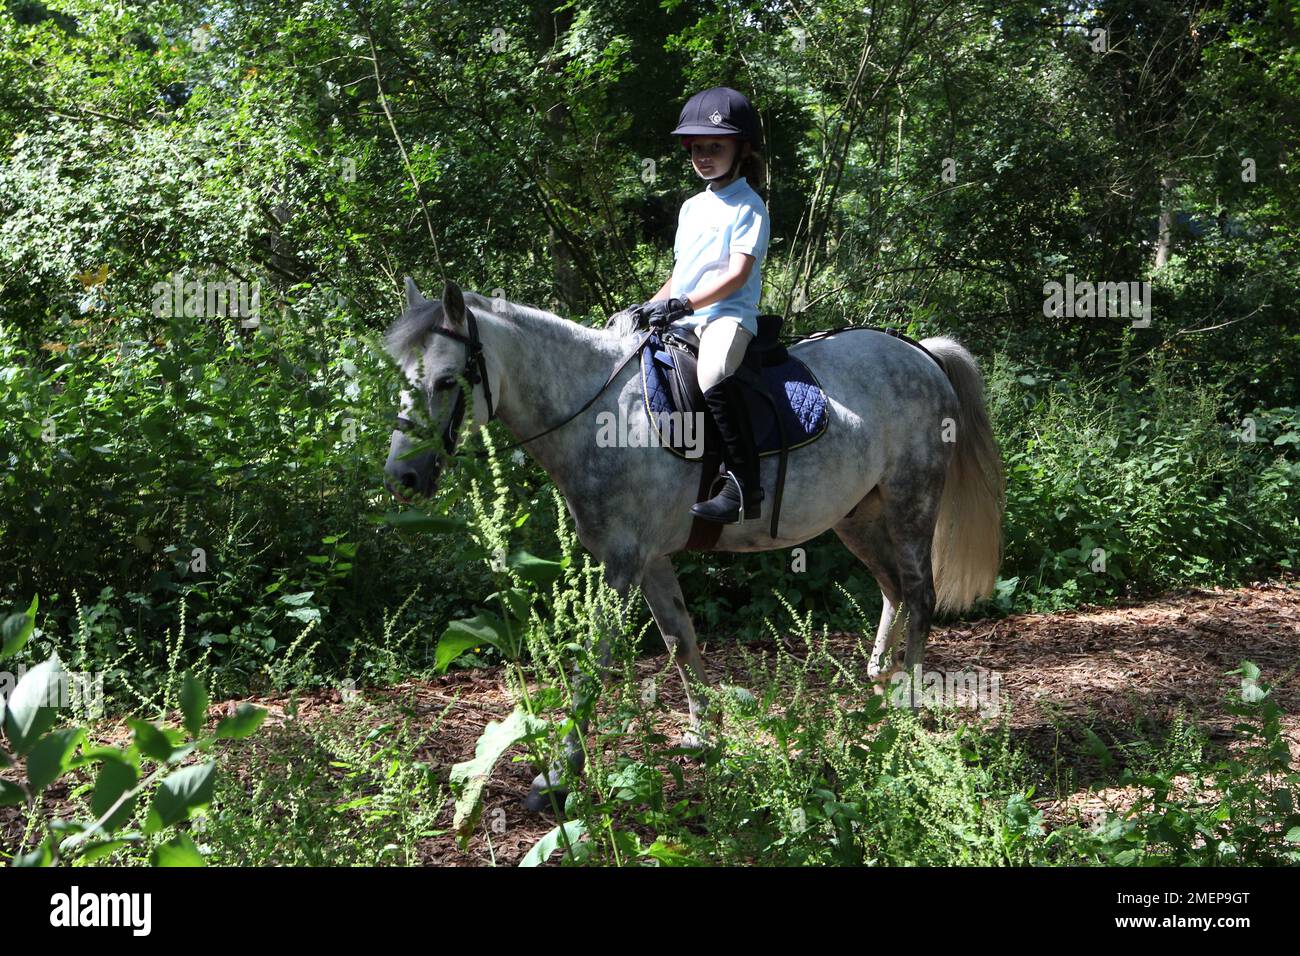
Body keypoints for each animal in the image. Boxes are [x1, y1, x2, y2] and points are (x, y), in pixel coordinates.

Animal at [384, 278, 1004, 811]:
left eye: (446, 381)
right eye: (402, 377)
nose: (402, 478)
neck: (599, 414)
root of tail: (922, 353)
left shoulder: (623, 564)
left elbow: (595, 662)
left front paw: (558, 777)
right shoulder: (651, 561)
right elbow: (680, 640)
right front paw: (707, 735)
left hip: (910, 502)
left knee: (920, 594)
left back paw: (909, 706)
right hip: (858, 516)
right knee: (893, 589)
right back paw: (879, 688)